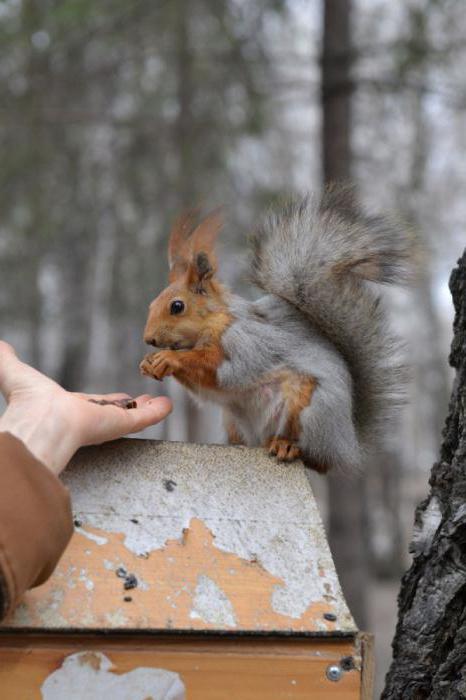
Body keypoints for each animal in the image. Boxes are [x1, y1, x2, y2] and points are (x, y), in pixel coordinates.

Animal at [139, 186, 416, 474]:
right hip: (234, 421)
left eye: (177, 306)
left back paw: (287, 446)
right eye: (152, 304)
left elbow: (224, 371)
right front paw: (149, 362)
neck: (216, 321)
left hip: (309, 410)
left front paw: (169, 358)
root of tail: (347, 446)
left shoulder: (247, 344)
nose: (149, 339)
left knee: (317, 460)